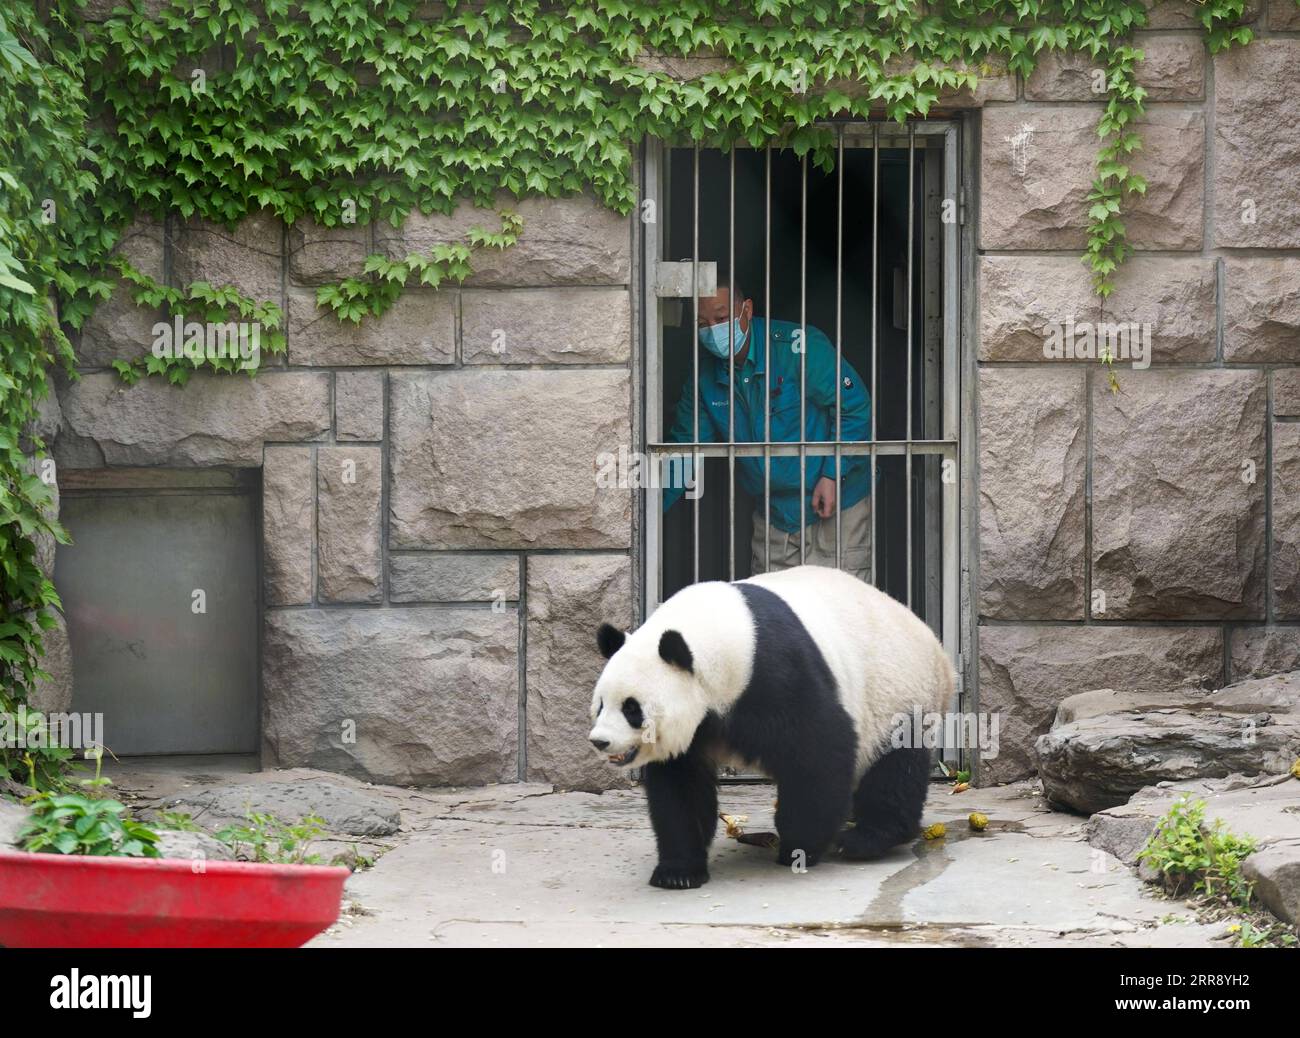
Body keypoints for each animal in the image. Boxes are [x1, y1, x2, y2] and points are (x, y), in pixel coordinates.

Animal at [588, 565, 955, 890]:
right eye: (601, 704)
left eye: (632, 708)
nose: (600, 741)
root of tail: (941, 654)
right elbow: (680, 786)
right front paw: (678, 872)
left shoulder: (774, 672)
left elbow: (819, 750)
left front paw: (799, 845)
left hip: (898, 695)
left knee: (894, 769)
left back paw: (864, 839)